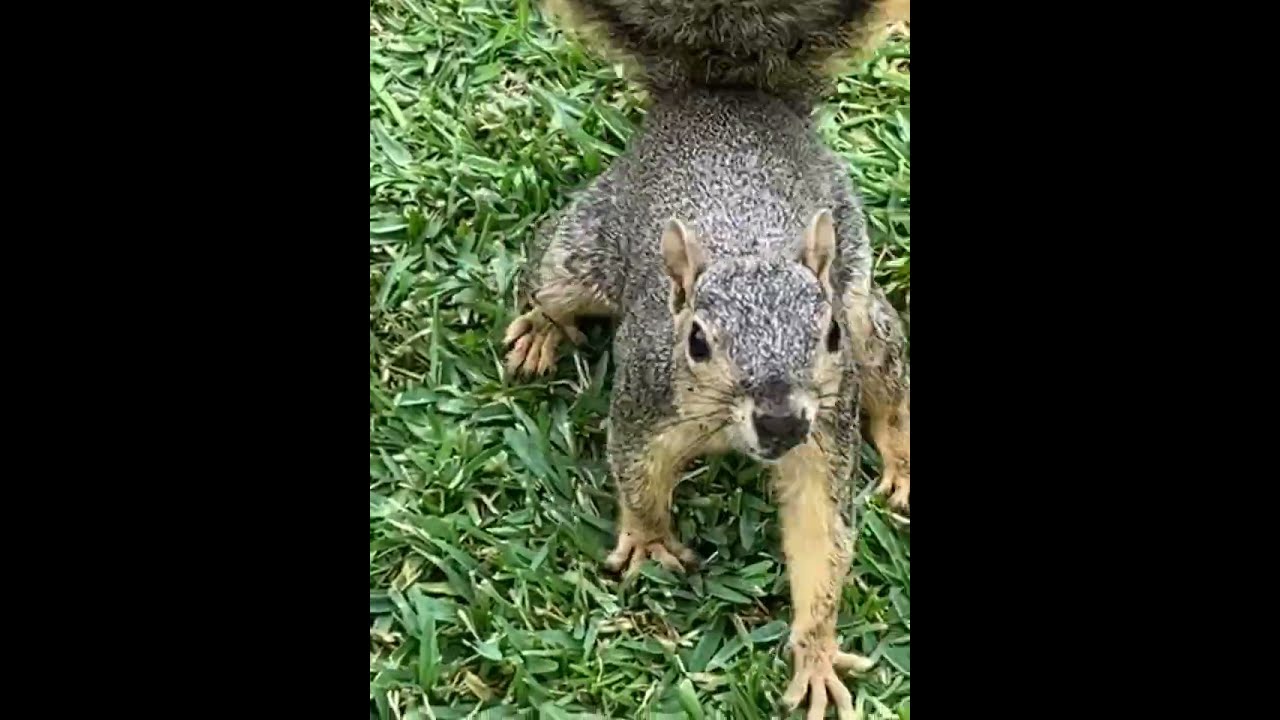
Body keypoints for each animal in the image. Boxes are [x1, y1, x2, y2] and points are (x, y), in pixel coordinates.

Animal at [503, 0, 910, 715]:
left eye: (828, 334)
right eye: (696, 340)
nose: (779, 421)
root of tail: (726, 96)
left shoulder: (824, 432)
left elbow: (821, 533)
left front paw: (816, 652)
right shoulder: (647, 401)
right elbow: (636, 474)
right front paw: (648, 540)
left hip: (862, 296)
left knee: (888, 377)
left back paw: (899, 457)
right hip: (581, 249)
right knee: (549, 276)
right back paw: (540, 331)